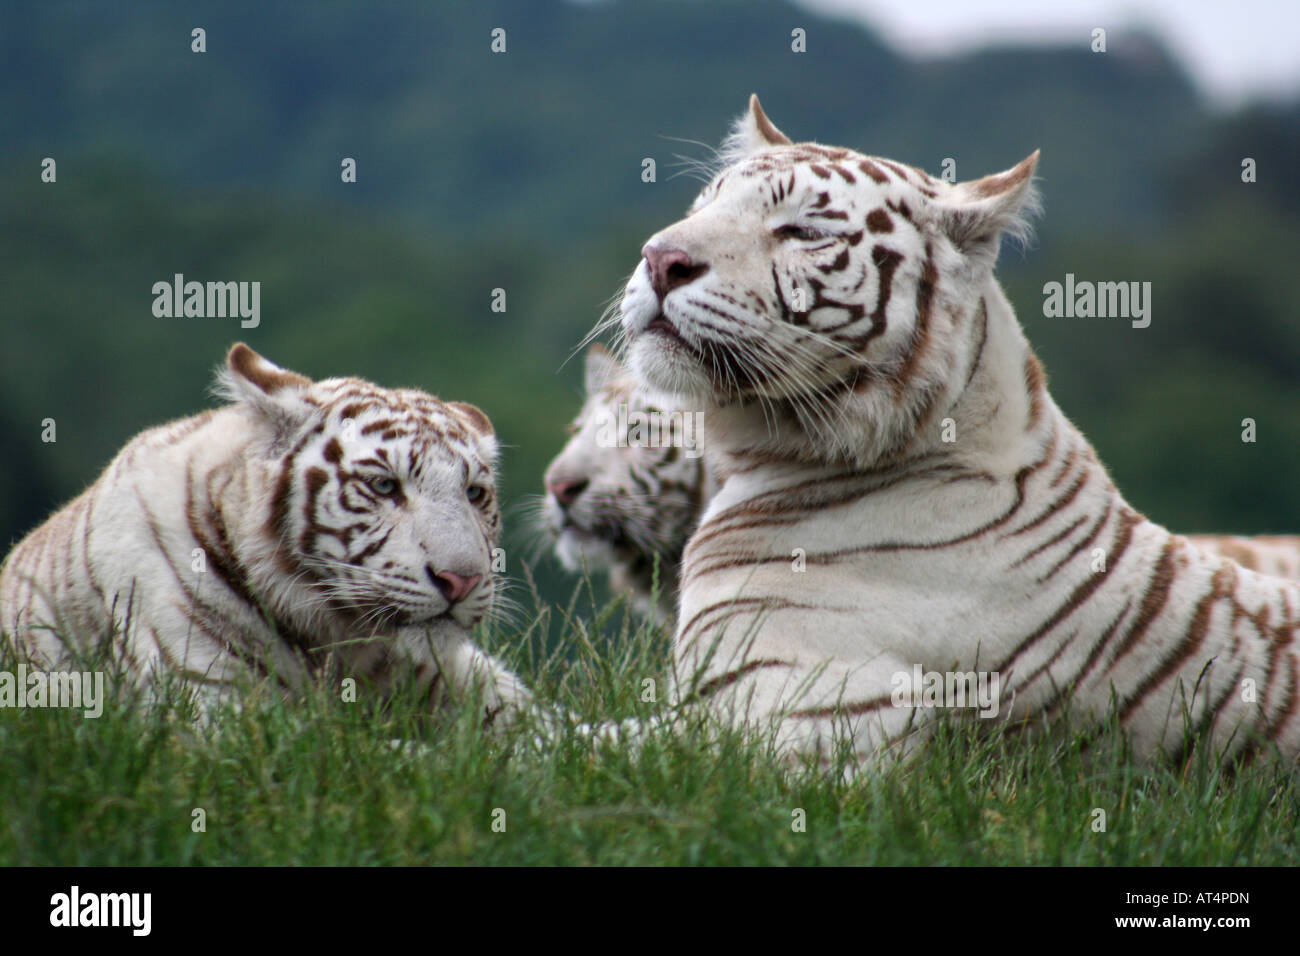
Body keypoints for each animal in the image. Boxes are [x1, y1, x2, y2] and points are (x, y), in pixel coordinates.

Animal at [1, 343, 539, 729]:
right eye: (385, 486)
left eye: (474, 493)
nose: (461, 581)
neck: (340, 643)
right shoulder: (215, 707)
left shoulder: (465, 677)